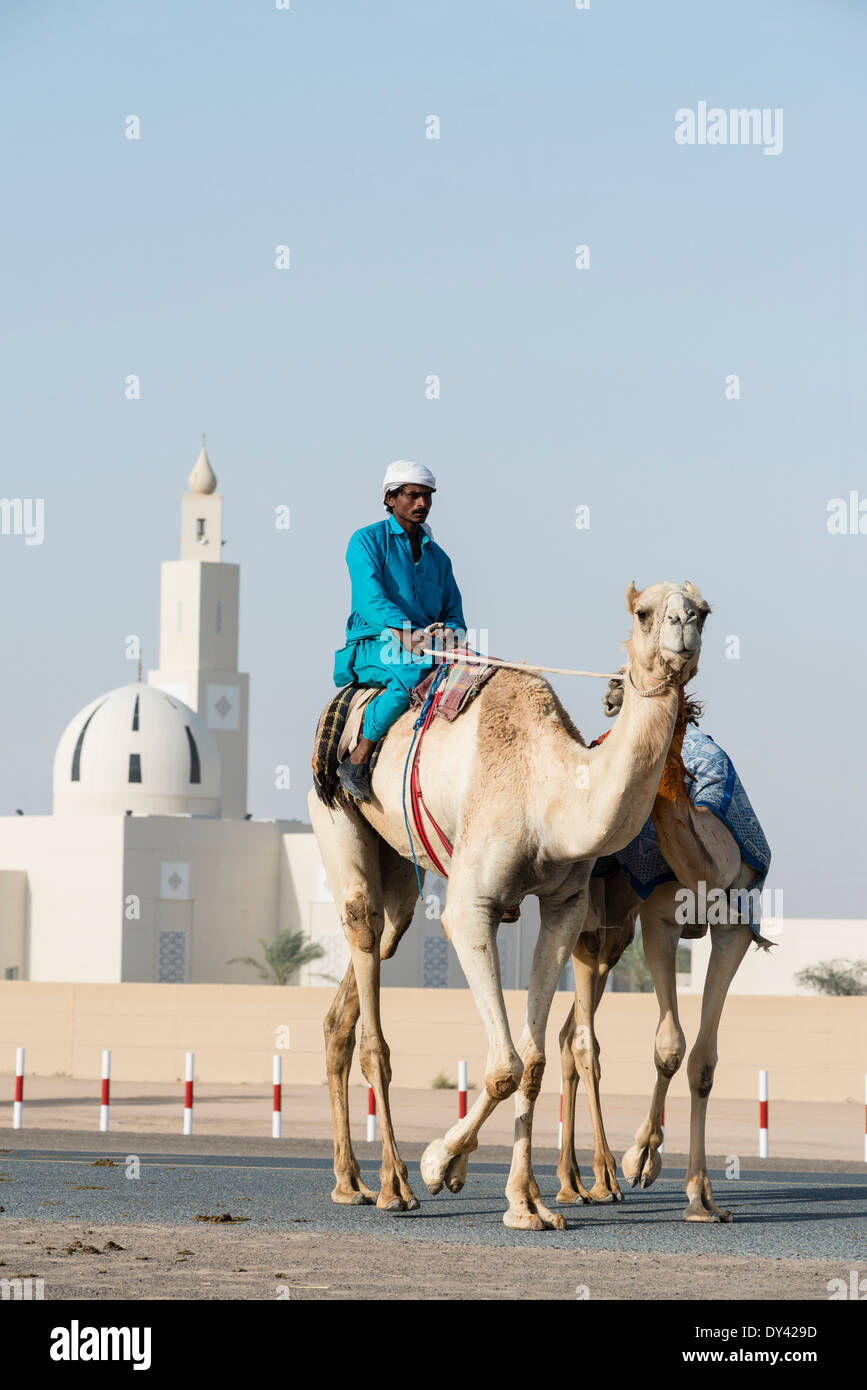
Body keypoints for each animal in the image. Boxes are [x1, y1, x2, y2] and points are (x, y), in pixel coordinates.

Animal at [308, 579, 710, 1230]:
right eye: (645, 612)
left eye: (703, 611)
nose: (683, 629)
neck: (551, 791)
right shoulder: (473, 906)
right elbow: (504, 1067)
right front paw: (440, 1165)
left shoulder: (564, 906)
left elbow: (534, 1061)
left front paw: (527, 1203)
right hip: (334, 813)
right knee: (363, 936)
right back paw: (395, 1184)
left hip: (400, 869)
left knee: (373, 955)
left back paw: (350, 1181)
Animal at [554, 689, 768, 1222]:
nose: (612, 697)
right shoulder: (659, 920)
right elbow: (669, 1047)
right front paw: (641, 1159)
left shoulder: (734, 928)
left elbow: (704, 1061)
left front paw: (702, 1197)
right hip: (592, 918)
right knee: (584, 1041)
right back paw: (602, 1179)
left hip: (613, 936)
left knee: (569, 1036)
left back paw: (573, 1184)